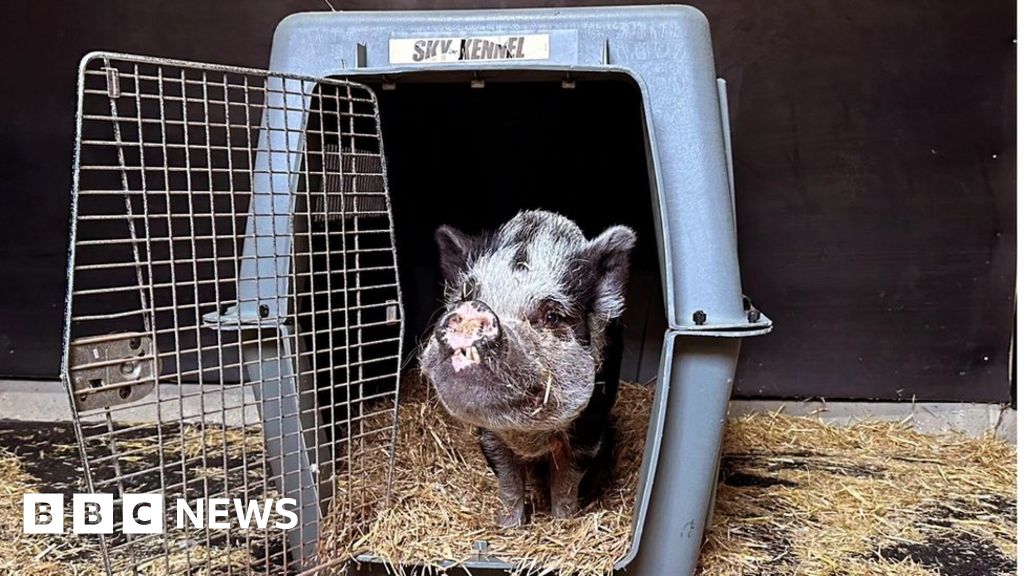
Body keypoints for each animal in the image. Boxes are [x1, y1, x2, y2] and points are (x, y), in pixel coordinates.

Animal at [418, 210, 636, 527]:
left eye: (553, 316)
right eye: (467, 295)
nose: (472, 311)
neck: (526, 435)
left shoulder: (590, 425)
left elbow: (566, 481)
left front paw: (562, 522)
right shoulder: (488, 433)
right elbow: (507, 479)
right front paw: (509, 526)